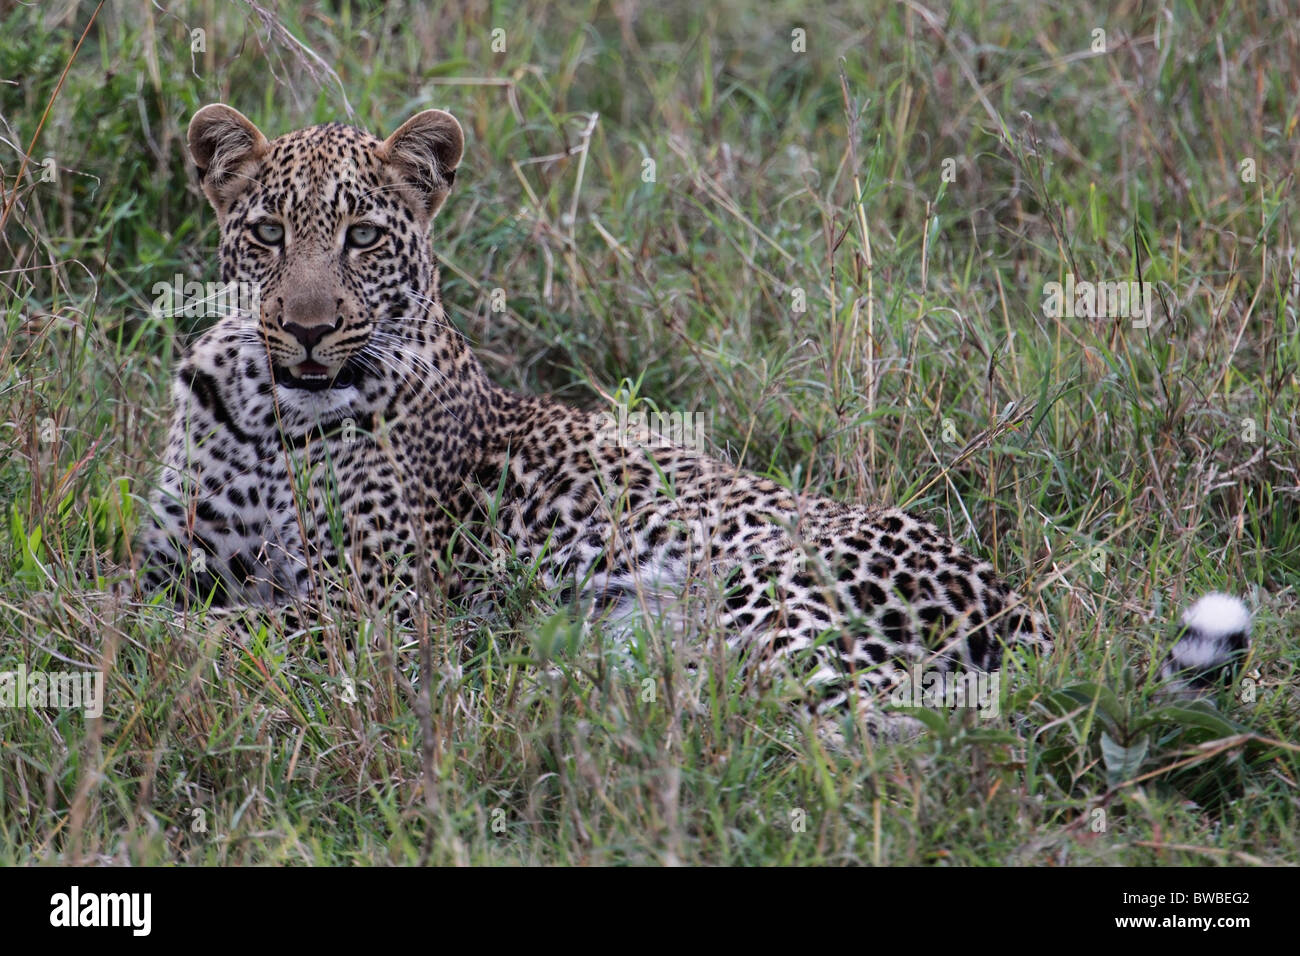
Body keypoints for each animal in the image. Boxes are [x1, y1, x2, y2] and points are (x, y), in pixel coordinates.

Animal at [136, 104, 1250, 735]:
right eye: (266, 234)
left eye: (363, 238)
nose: (308, 327)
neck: (268, 412)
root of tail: (1017, 602)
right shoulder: (176, 565)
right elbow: (152, 610)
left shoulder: (372, 604)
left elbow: (206, 632)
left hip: (771, 602)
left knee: (887, 735)